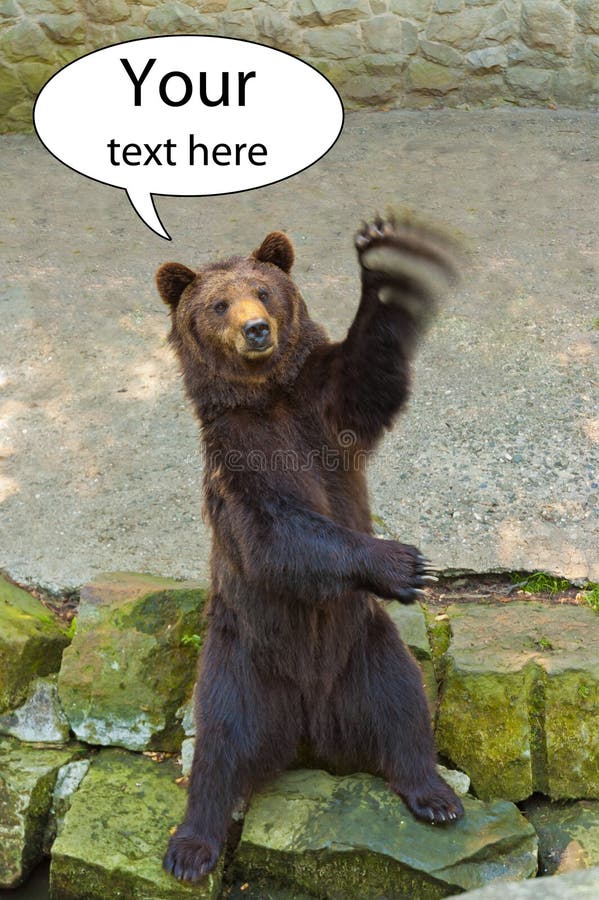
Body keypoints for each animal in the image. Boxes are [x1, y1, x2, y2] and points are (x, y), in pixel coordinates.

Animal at [156, 216, 463, 883]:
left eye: (264, 291)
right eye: (218, 304)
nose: (256, 330)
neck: (267, 397)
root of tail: (308, 719)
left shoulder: (325, 408)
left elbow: (371, 374)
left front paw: (386, 259)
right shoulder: (238, 460)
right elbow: (276, 534)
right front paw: (401, 562)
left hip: (365, 650)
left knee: (402, 707)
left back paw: (434, 795)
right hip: (242, 659)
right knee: (220, 747)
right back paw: (191, 848)